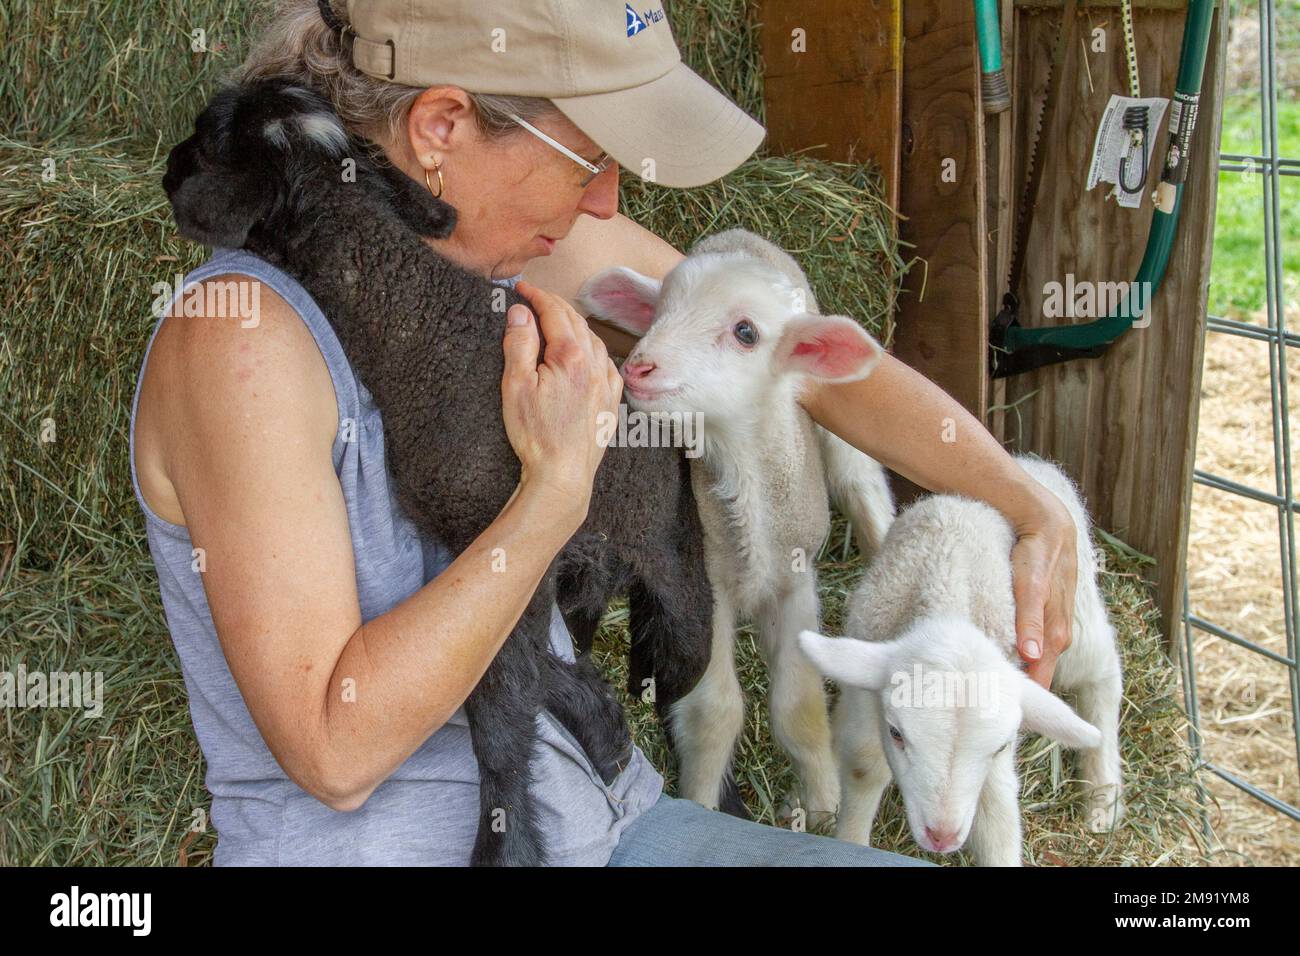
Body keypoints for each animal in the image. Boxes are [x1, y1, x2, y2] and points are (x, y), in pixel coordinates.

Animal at [163, 78, 714, 866]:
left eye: (208, 143)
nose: (166, 173)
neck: (414, 324)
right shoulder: (498, 554)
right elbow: (510, 675)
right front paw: (598, 720)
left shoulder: (496, 534)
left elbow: (501, 709)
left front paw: (507, 843)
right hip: (590, 576)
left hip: (675, 572)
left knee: (686, 686)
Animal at [577, 228, 895, 823]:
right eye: (658, 310)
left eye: (746, 332)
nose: (638, 368)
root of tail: (743, 235)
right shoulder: (710, 584)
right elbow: (715, 710)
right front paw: (703, 798)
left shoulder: (796, 581)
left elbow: (799, 708)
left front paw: (821, 800)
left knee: (860, 482)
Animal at [797, 454, 1125, 866]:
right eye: (896, 734)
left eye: (1001, 747)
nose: (942, 836)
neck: (946, 588)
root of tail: (1031, 464)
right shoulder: (865, 693)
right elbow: (864, 766)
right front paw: (849, 838)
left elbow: (997, 816)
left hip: (1070, 614)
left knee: (1103, 672)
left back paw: (1102, 795)